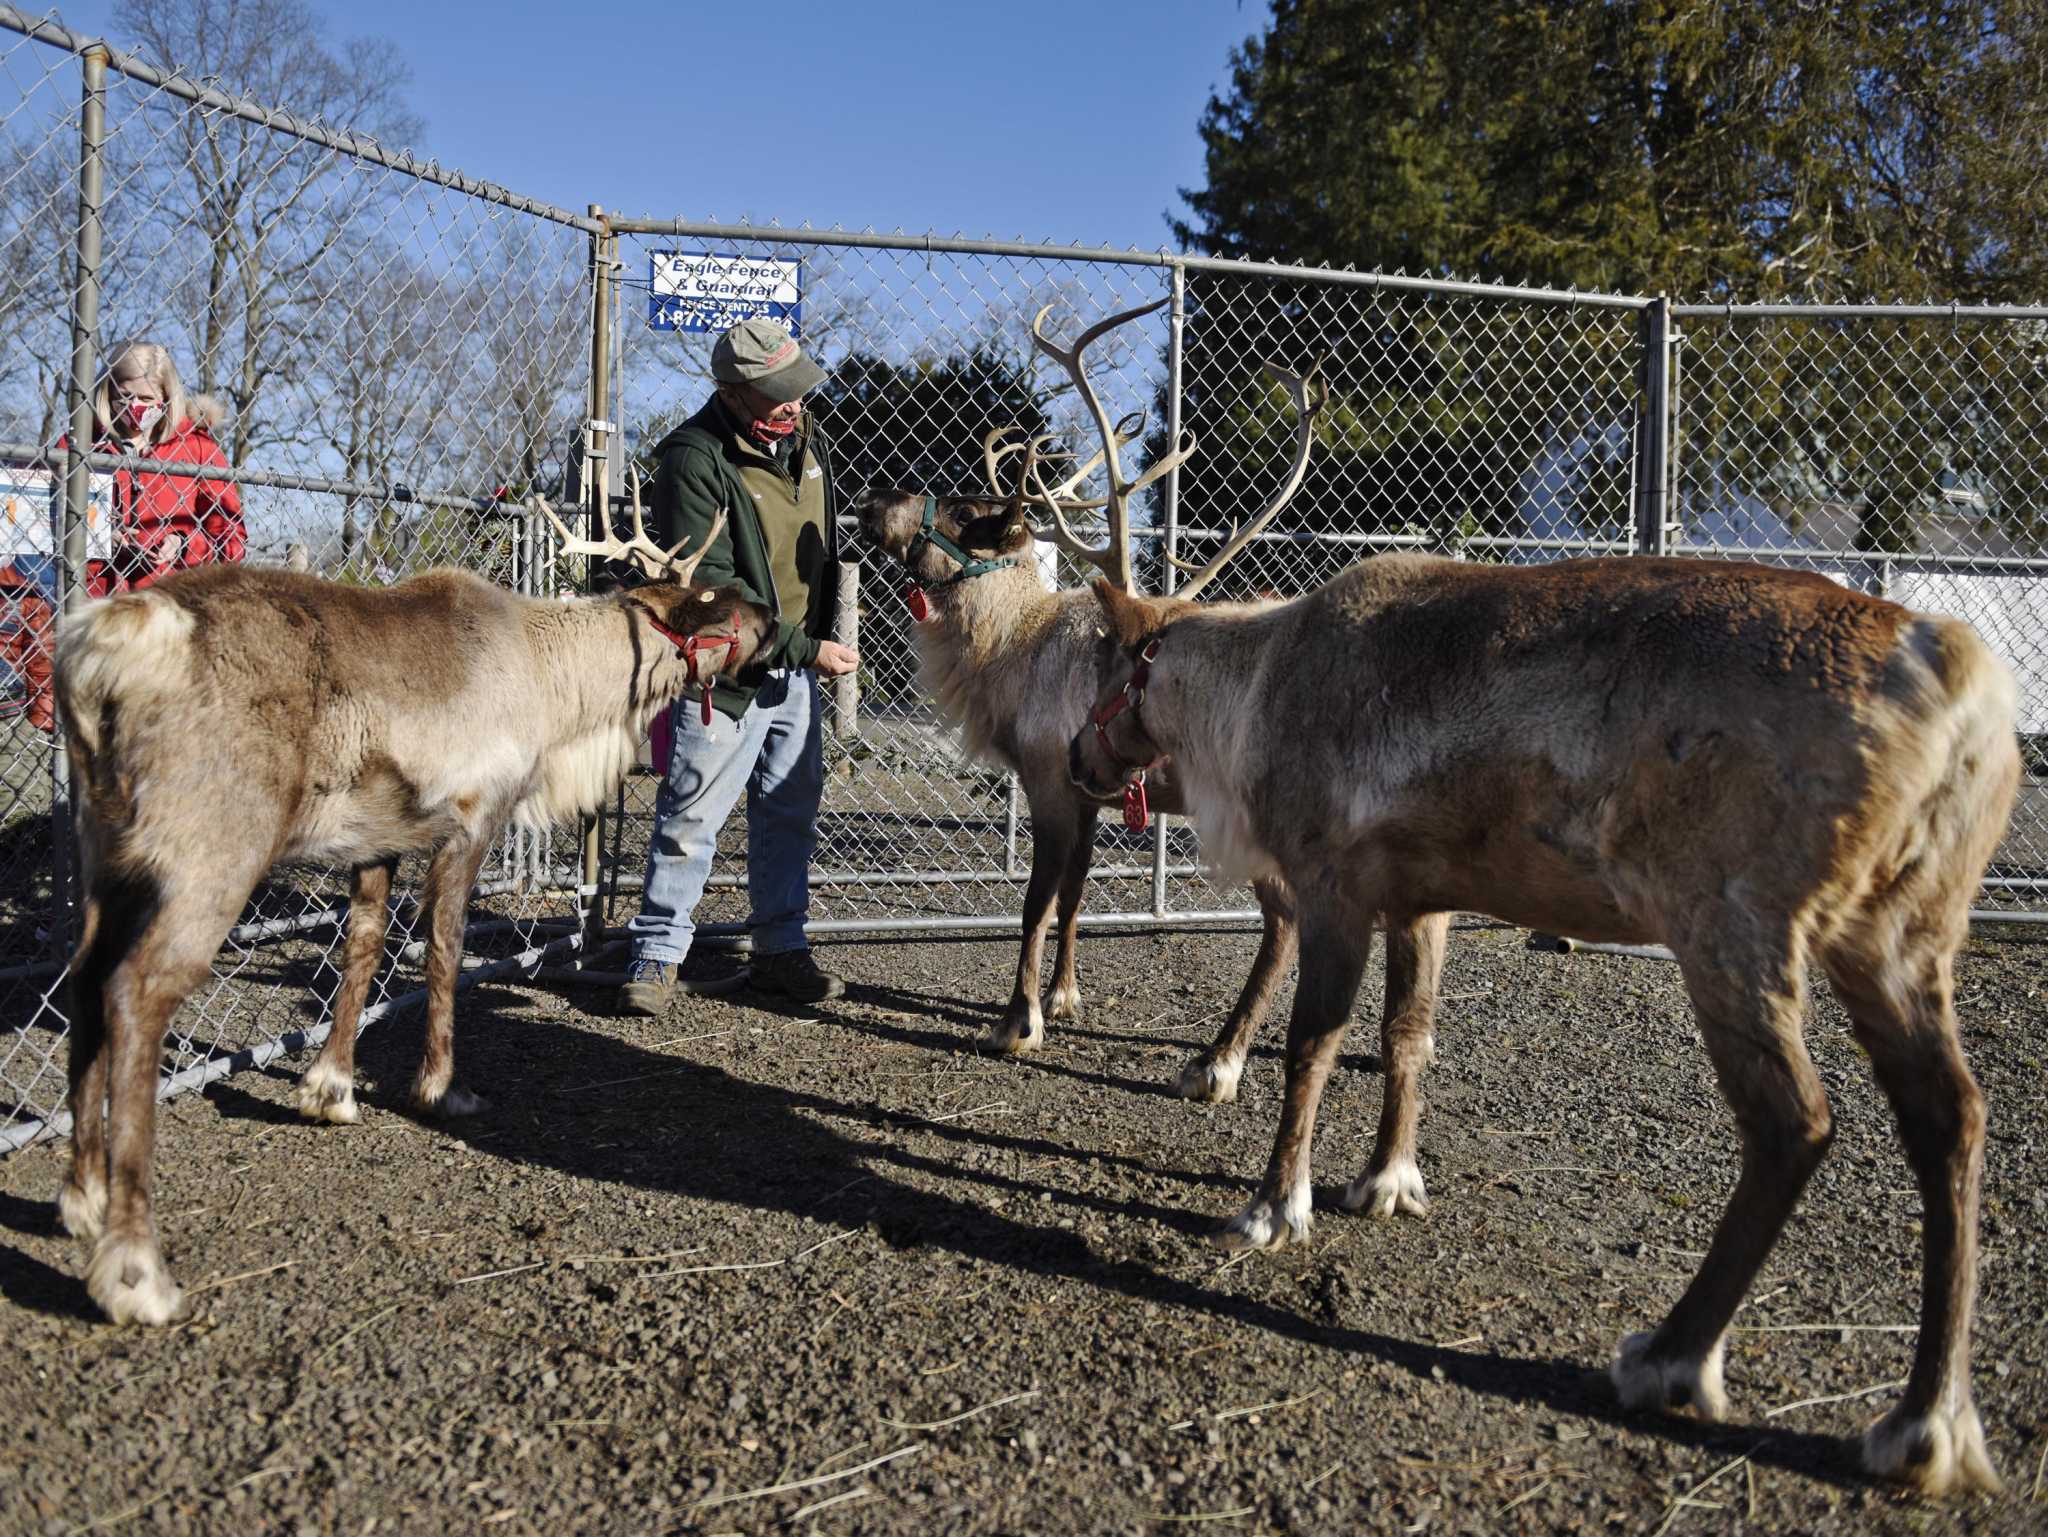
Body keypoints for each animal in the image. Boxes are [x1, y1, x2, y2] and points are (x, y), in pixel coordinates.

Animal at [52, 499, 772, 1327]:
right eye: (716, 598)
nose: (774, 617)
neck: (557, 687)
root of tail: (107, 646)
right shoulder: (473, 815)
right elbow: (445, 947)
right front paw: (442, 1087)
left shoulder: (376, 840)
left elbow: (363, 947)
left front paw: (329, 1089)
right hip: (209, 849)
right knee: (135, 993)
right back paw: (136, 1268)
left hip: (104, 849)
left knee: (84, 977)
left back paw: (83, 1196)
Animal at [856, 301, 1454, 1157]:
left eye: (969, 510)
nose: (869, 499)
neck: (1010, 651)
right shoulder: (1088, 793)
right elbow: (1073, 898)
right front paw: (1065, 996)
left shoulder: (1049, 783)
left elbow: (1035, 902)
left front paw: (1017, 1020)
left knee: (1286, 921)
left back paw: (1217, 1063)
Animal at [1070, 552, 2021, 1497]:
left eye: (1106, 669)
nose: (1077, 757)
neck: (1252, 690)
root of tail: (1960, 684)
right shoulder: (1421, 896)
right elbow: (1406, 1036)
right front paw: (1387, 1180)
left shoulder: (1332, 876)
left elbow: (1315, 1045)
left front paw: (1274, 1205)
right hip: (1901, 934)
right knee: (1952, 1118)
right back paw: (1927, 1424)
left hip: (1734, 920)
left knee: (1796, 1119)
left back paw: (1670, 1357)